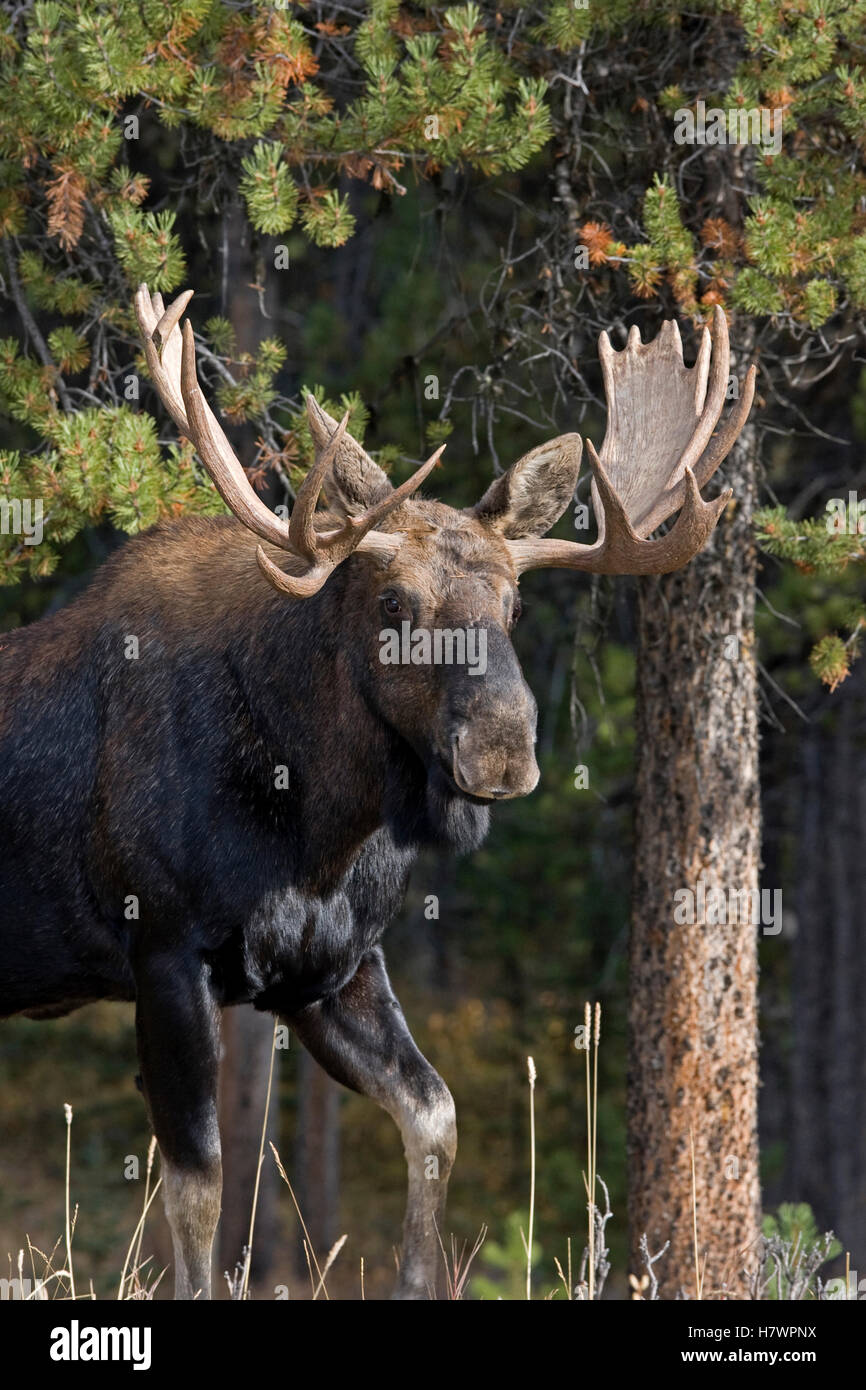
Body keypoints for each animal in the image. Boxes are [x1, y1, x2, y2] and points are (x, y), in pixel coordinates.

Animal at [0, 286, 755, 1299]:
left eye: (515, 604)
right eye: (394, 604)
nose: (502, 748)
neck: (317, 831)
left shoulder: (335, 967)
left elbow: (433, 1117)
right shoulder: (162, 951)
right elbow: (198, 1189)